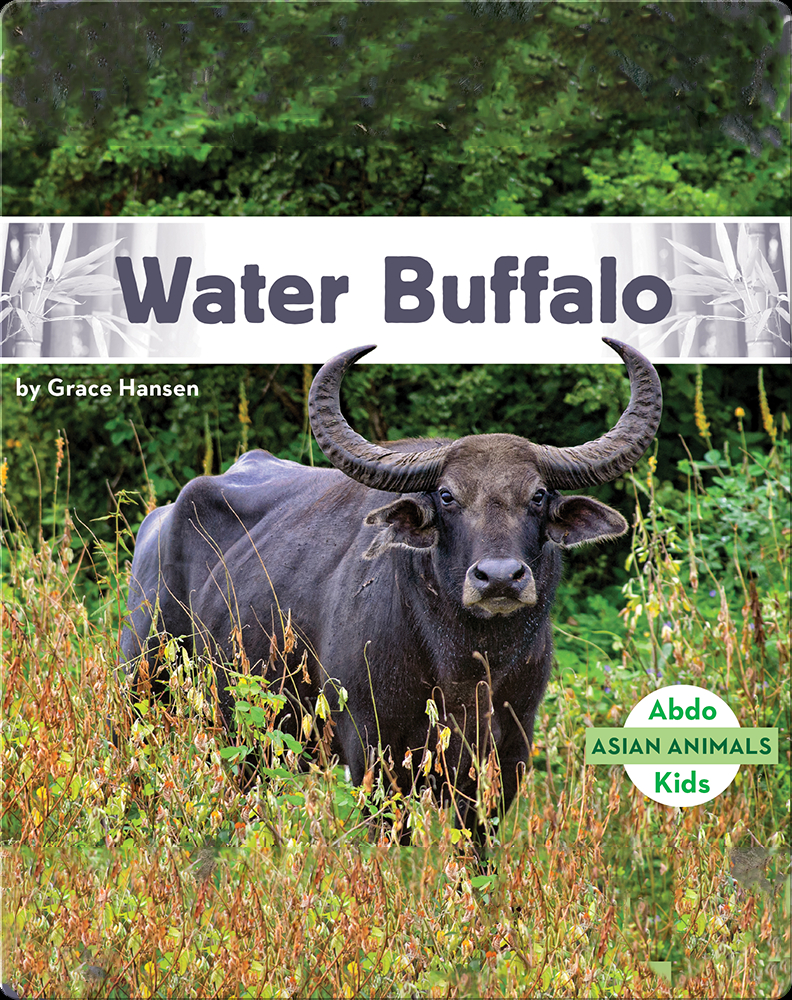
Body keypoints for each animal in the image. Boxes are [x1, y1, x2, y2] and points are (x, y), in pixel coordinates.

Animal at [121, 338, 662, 847]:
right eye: (446, 495)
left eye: (539, 495)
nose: (500, 578)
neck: (465, 664)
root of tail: (159, 522)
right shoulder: (374, 756)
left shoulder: (505, 760)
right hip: (144, 692)